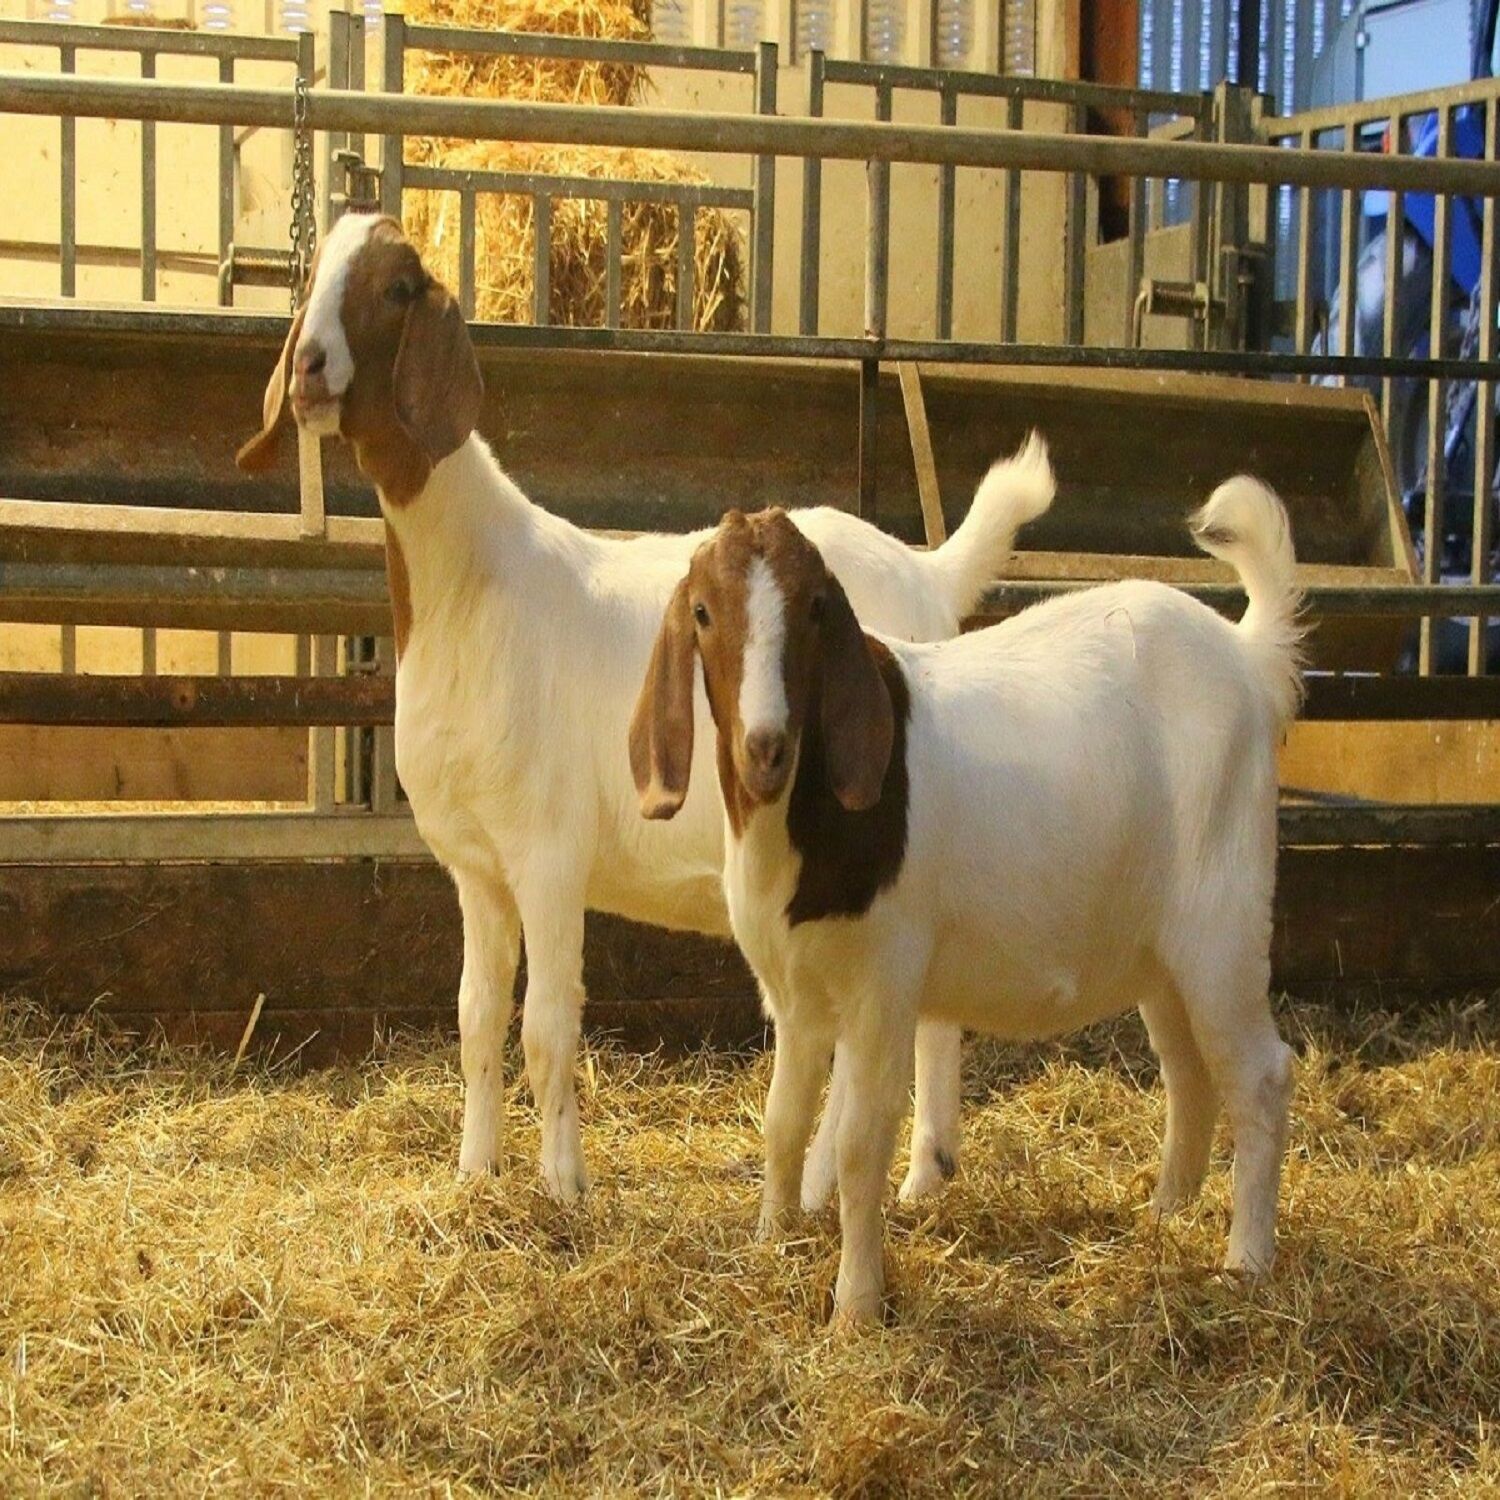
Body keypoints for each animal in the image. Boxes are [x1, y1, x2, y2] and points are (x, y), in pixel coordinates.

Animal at [235, 212, 1051, 1201]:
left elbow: (547, 1028)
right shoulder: (476, 865)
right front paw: (475, 1177)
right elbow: (475, 1021)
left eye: (396, 286)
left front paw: (562, 1190)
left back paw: (907, 1173)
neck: (471, 587)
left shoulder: (548, 852)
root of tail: (927, 576)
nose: (310, 366)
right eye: (314, 269)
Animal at [632, 438, 1303, 1322]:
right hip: (1160, 947)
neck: (797, 826)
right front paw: (771, 1244)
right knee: (1188, 1067)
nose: (766, 746)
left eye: (815, 609)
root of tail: (1247, 656)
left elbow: (859, 1142)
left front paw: (855, 1307)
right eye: (705, 613)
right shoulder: (795, 989)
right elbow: (782, 1121)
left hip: (1224, 916)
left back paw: (1246, 1263)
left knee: (1259, 1073)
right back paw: (1166, 1212)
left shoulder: (883, 982)